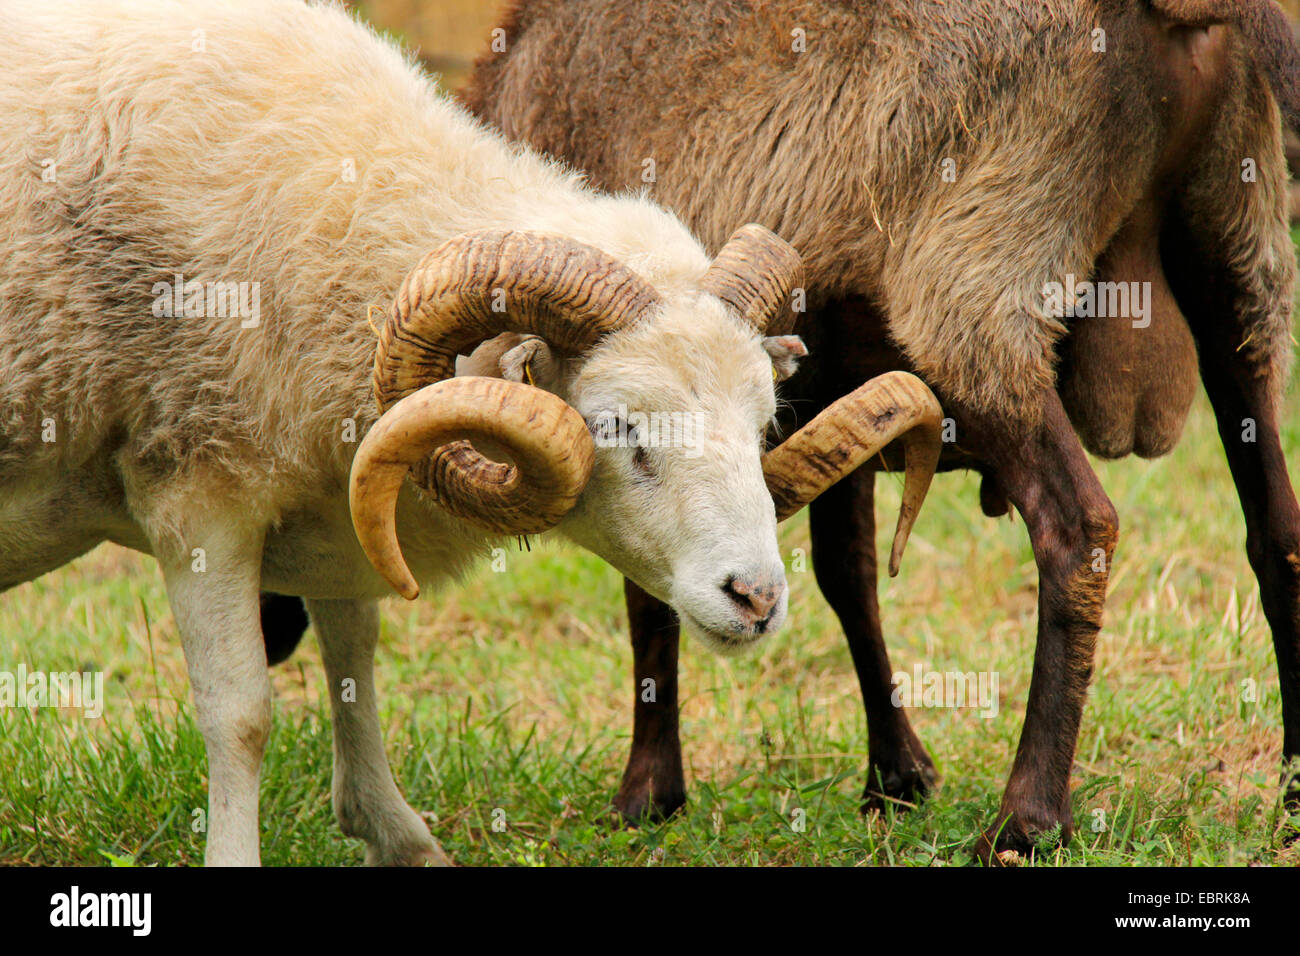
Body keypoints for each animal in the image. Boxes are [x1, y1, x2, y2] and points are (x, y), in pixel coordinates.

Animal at [0, 0, 944, 865]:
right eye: (615, 423)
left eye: (763, 422)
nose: (757, 598)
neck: (341, 217)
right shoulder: (198, 497)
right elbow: (241, 715)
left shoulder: (349, 497)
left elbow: (355, 661)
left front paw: (393, 833)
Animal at [466, 0, 1300, 862]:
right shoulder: (832, 394)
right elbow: (849, 578)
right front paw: (896, 777)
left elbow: (650, 591)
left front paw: (648, 794)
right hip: (1237, 256)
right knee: (1277, 531)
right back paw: (1292, 790)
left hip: (978, 295)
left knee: (1077, 527)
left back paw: (1026, 818)